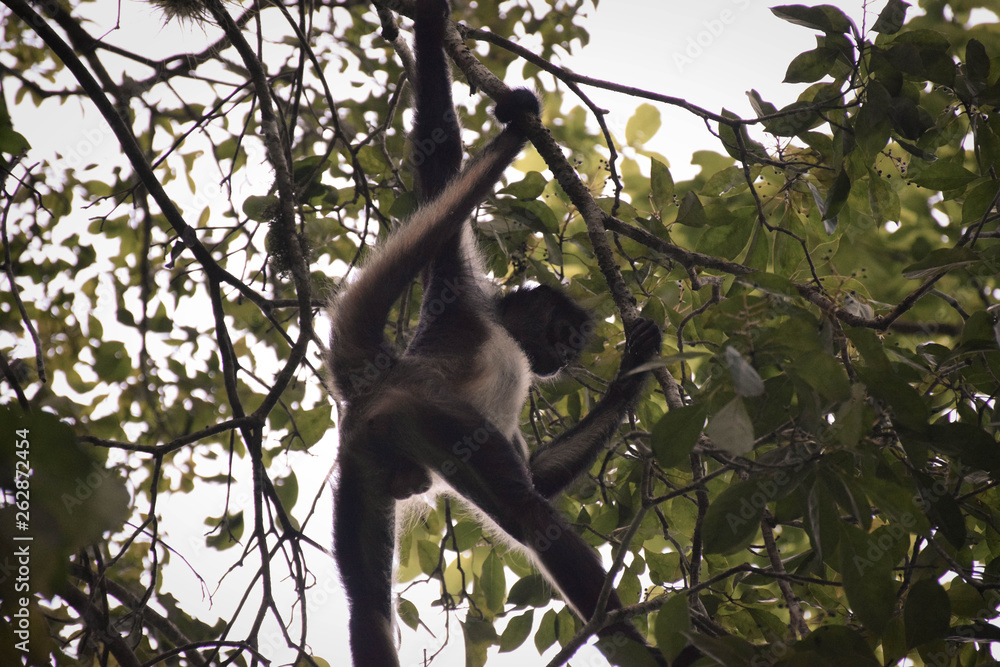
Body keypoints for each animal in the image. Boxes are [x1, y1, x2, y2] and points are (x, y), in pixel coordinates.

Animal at [326, 1, 666, 665]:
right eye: (560, 336)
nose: (559, 361)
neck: (493, 322)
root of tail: (379, 384)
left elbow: (542, 473)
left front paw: (632, 370)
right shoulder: (456, 296)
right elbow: (438, 159)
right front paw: (434, 28)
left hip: (365, 461)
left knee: (366, 607)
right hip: (432, 417)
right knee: (527, 514)